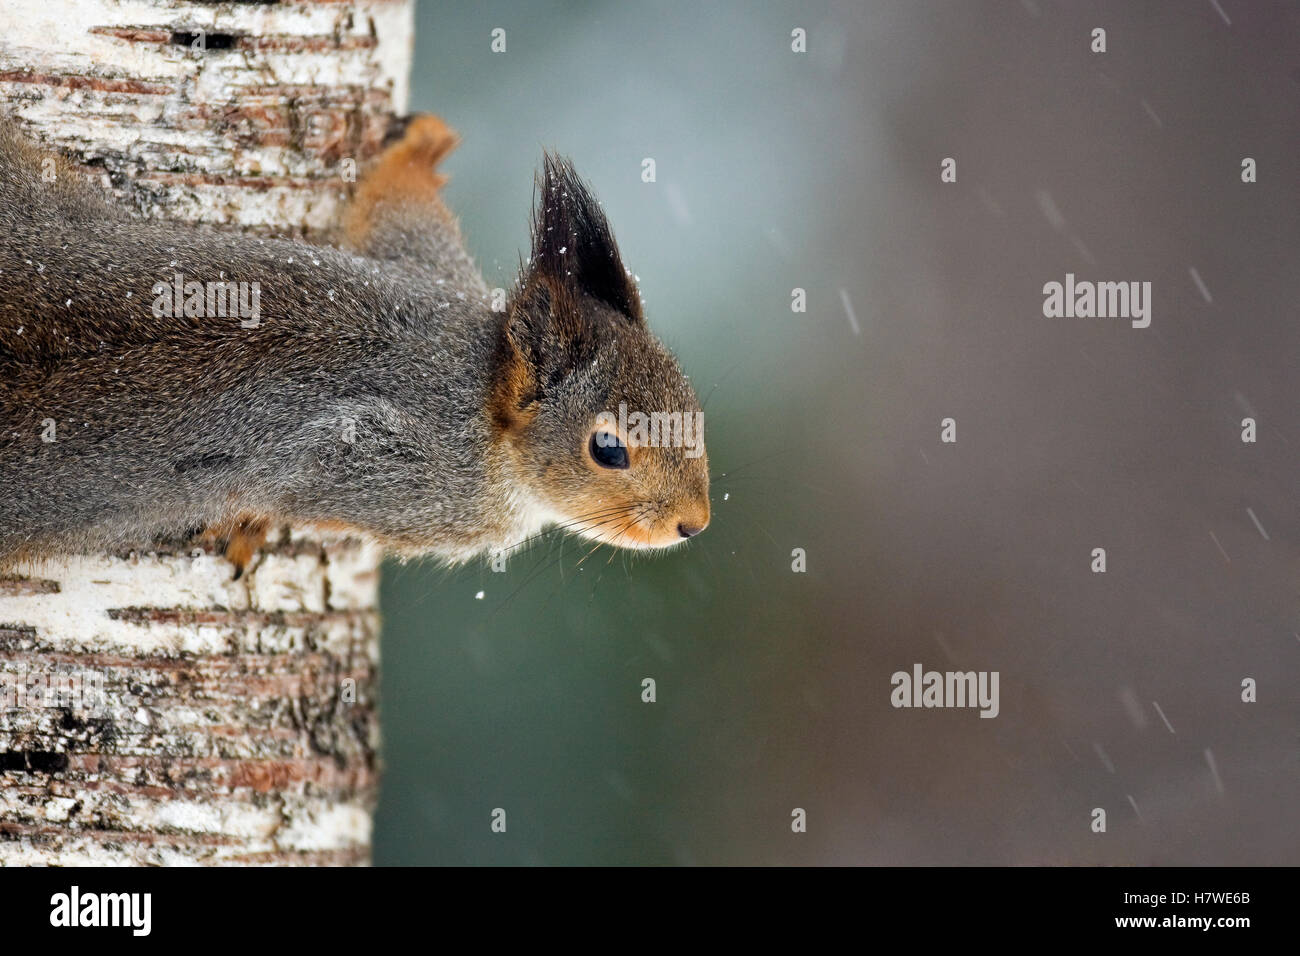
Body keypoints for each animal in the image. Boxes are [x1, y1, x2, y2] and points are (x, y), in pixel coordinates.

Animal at [0, 114, 710, 575]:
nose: (695, 523)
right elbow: (297, 488)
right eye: (608, 449)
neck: (479, 396)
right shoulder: (395, 476)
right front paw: (249, 527)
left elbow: (392, 209)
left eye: (691, 403)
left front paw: (422, 144)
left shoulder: (431, 273)